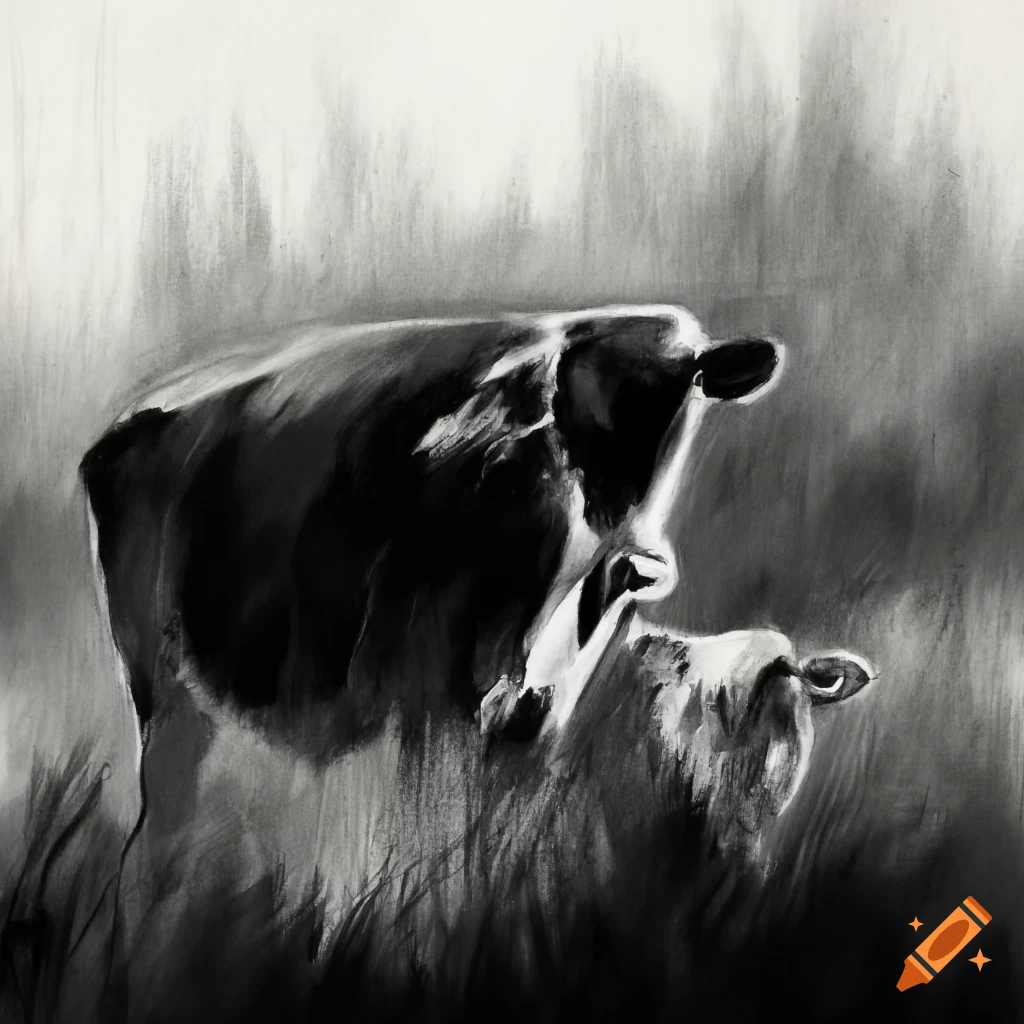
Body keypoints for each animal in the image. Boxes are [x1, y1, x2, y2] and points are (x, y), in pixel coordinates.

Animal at [80, 305, 876, 997]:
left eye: (625, 575)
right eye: (514, 503)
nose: (518, 703)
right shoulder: (419, 694)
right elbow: (418, 838)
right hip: (173, 703)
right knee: (165, 846)